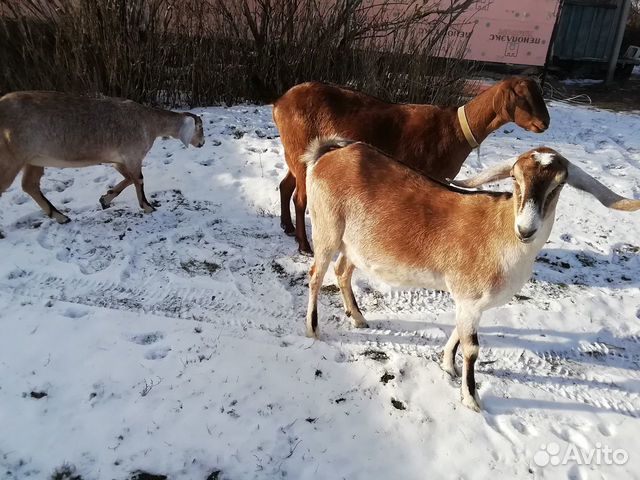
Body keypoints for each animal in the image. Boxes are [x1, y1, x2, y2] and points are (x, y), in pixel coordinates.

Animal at [0, 91, 205, 237]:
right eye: (200, 127)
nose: (202, 143)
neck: (151, 124)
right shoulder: (133, 153)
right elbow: (138, 179)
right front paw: (148, 206)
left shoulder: (118, 159)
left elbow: (129, 178)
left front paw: (105, 199)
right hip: (12, 156)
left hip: (33, 158)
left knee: (29, 185)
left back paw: (61, 217)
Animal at [273, 77, 550, 254]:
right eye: (523, 97)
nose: (545, 123)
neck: (456, 129)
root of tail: (279, 103)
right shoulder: (429, 172)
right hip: (301, 151)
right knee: (300, 198)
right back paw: (304, 245)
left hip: (294, 153)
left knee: (285, 185)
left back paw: (286, 226)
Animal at [303, 138, 640, 411]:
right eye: (515, 178)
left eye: (558, 185)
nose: (526, 229)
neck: (500, 234)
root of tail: (329, 154)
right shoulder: (468, 295)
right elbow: (472, 348)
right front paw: (471, 399)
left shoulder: (470, 303)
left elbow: (458, 333)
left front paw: (447, 367)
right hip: (327, 228)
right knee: (316, 274)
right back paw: (314, 329)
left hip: (354, 244)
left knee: (342, 271)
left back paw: (358, 317)